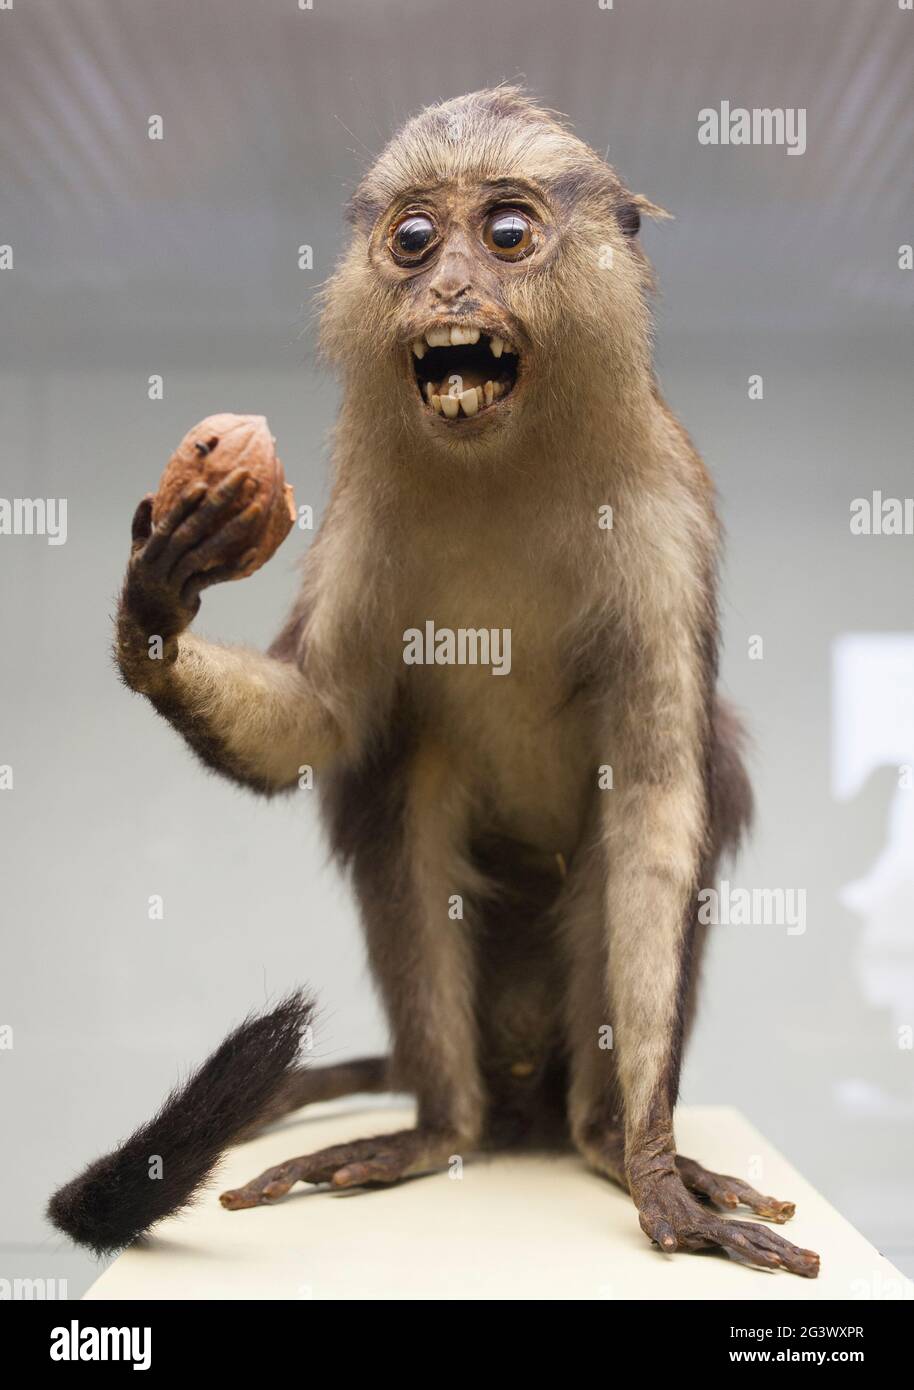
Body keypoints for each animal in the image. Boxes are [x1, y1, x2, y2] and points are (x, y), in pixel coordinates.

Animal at [48, 87, 820, 1278]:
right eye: (413, 239)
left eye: (504, 233)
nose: (448, 289)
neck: (502, 459)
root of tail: (519, 1088)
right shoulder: (360, 512)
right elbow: (324, 722)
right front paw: (155, 609)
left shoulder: (665, 512)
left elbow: (655, 801)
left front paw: (652, 1162)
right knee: (402, 792)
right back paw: (435, 1129)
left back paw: (603, 1136)